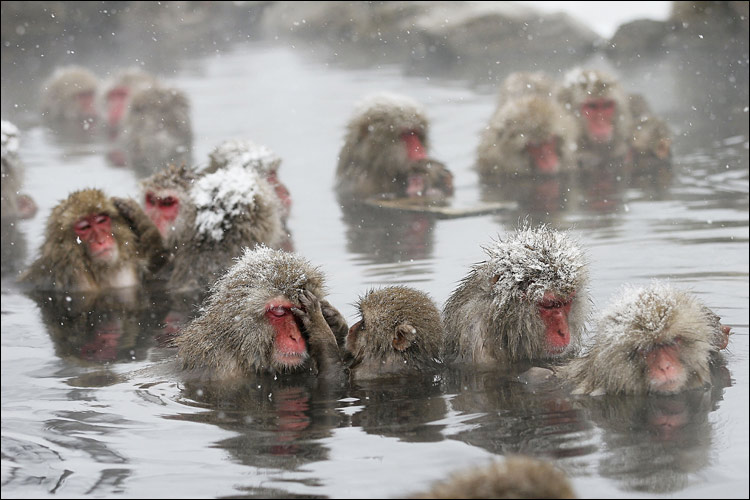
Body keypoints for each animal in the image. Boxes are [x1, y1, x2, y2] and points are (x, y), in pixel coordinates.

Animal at [176, 246, 346, 385]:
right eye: (279, 312)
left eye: (298, 311)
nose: (295, 337)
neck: (242, 350)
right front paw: (319, 327)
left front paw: (333, 320)